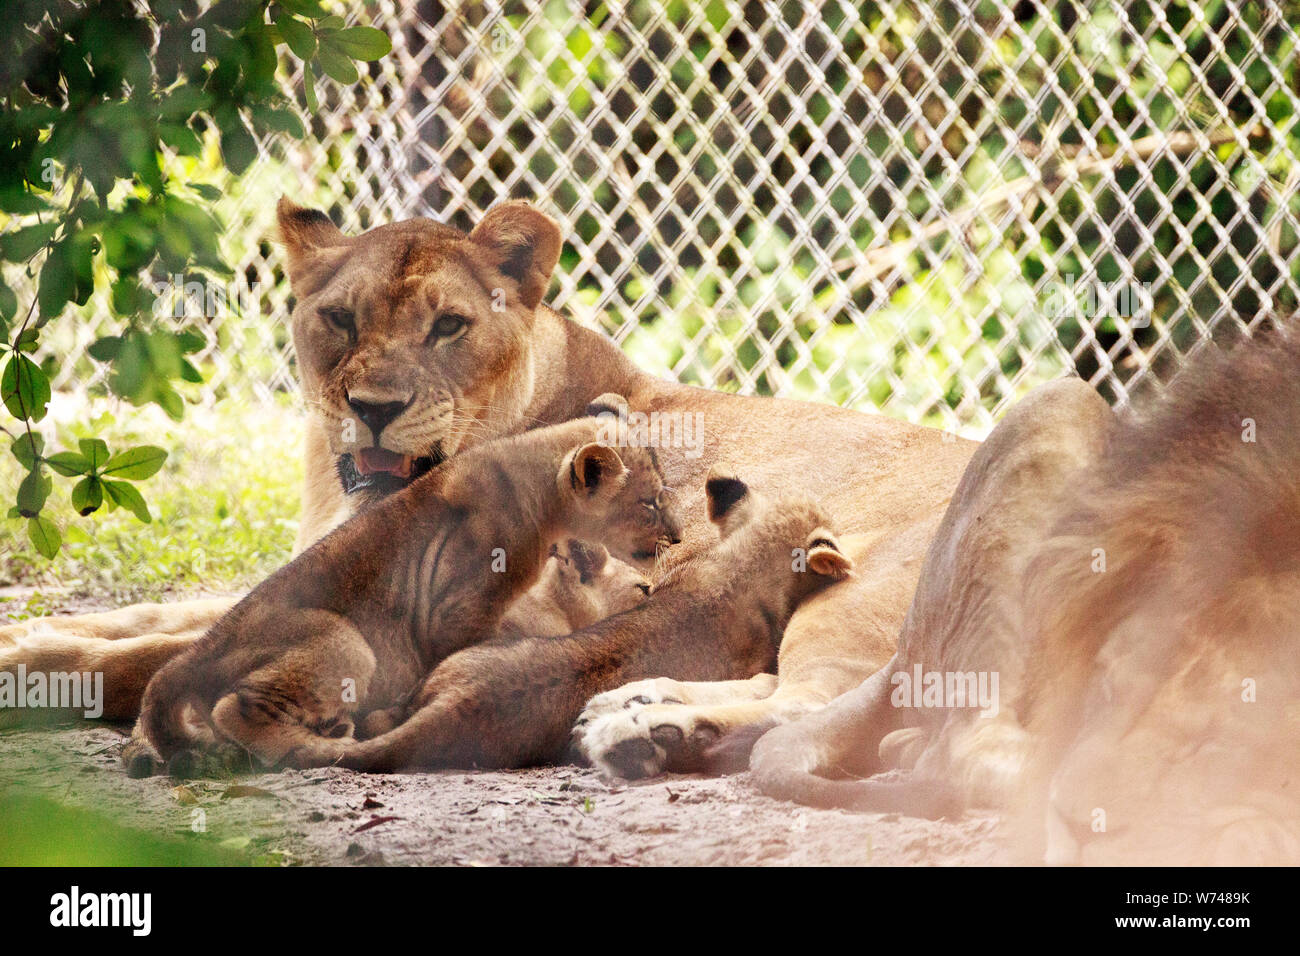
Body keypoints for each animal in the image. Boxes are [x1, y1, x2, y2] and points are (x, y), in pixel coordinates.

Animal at [129, 415, 681, 774]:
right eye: (650, 503)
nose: (676, 538)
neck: (535, 487)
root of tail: (202, 647)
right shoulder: (459, 607)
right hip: (345, 642)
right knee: (235, 709)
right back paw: (318, 748)